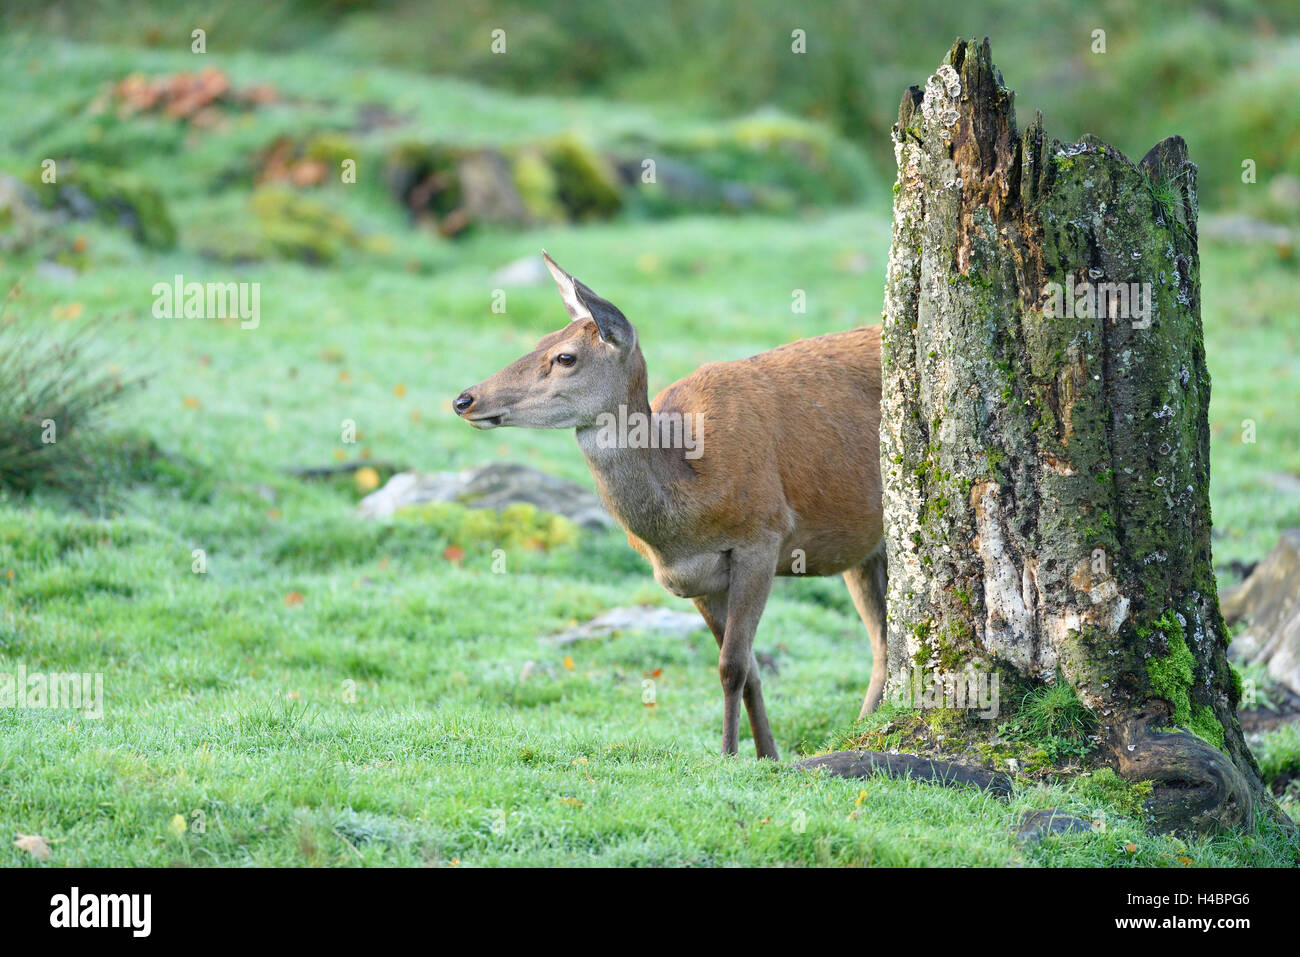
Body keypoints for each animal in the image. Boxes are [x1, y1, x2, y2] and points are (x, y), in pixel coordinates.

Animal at [454, 252, 886, 760]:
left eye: (565, 357)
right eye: (540, 339)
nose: (465, 399)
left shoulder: (764, 536)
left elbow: (732, 665)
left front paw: (728, 756)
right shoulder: (697, 577)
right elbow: (751, 669)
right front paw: (766, 756)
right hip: (864, 551)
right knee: (883, 643)